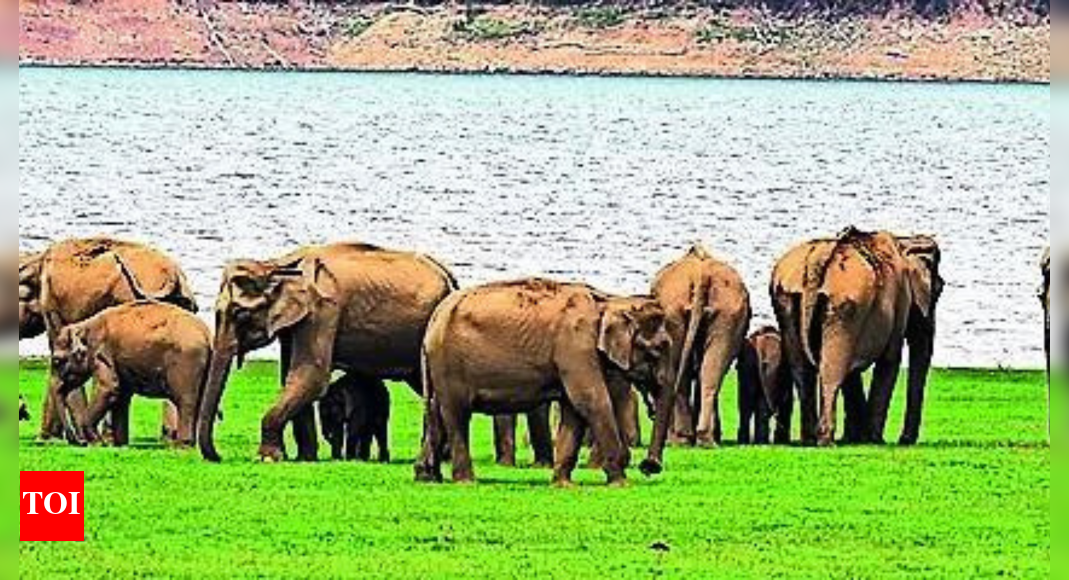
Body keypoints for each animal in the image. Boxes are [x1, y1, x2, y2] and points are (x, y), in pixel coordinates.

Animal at [50, 301, 212, 447]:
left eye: (57, 361)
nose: (79, 442)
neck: (84, 325)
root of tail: (207, 334)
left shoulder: (101, 353)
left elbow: (109, 388)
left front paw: (98, 443)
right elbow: (121, 396)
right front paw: (120, 445)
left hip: (187, 362)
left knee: (185, 401)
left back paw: (183, 445)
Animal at [197, 242, 457, 463]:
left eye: (240, 314)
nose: (219, 457)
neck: (277, 265)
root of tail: (450, 276)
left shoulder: (322, 312)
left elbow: (310, 377)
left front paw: (268, 458)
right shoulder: (297, 323)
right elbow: (292, 378)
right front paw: (304, 458)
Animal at [414, 279, 678, 487]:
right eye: (656, 351)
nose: (649, 466)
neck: (609, 300)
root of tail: (433, 320)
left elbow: (573, 411)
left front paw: (563, 484)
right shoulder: (576, 346)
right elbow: (591, 401)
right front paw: (621, 483)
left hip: (438, 368)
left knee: (437, 414)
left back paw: (428, 477)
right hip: (449, 365)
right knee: (456, 415)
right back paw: (466, 481)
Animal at [651, 244, 751, 447]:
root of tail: (701, 273)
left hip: (672, 312)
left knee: (680, 372)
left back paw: (682, 439)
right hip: (728, 313)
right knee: (710, 371)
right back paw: (705, 438)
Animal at [771, 227, 943, 447]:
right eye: (939, 289)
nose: (904, 440)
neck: (904, 241)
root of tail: (818, 258)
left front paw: (857, 438)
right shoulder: (900, 300)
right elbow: (890, 360)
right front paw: (874, 440)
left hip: (786, 300)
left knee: (802, 371)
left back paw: (810, 440)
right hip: (843, 307)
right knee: (831, 370)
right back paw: (827, 441)